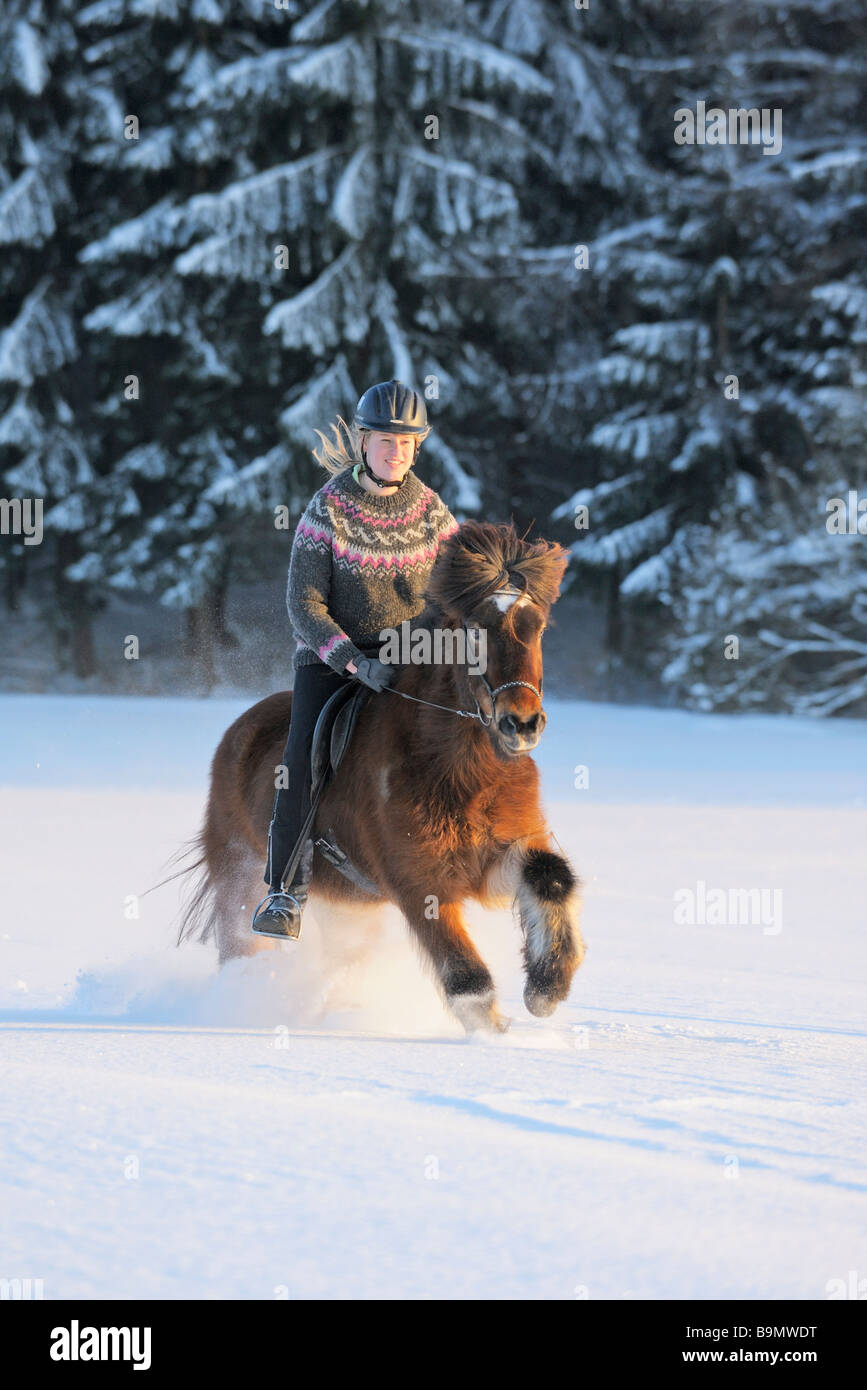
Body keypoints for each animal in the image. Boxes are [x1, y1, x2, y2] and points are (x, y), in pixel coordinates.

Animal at [175, 519, 585, 1034]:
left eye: (538, 627)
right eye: (474, 631)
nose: (522, 724)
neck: (458, 770)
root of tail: (238, 731)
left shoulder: (491, 856)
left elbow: (552, 876)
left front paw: (547, 988)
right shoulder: (419, 884)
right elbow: (468, 981)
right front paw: (497, 1038)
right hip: (242, 877)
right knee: (240, 948)